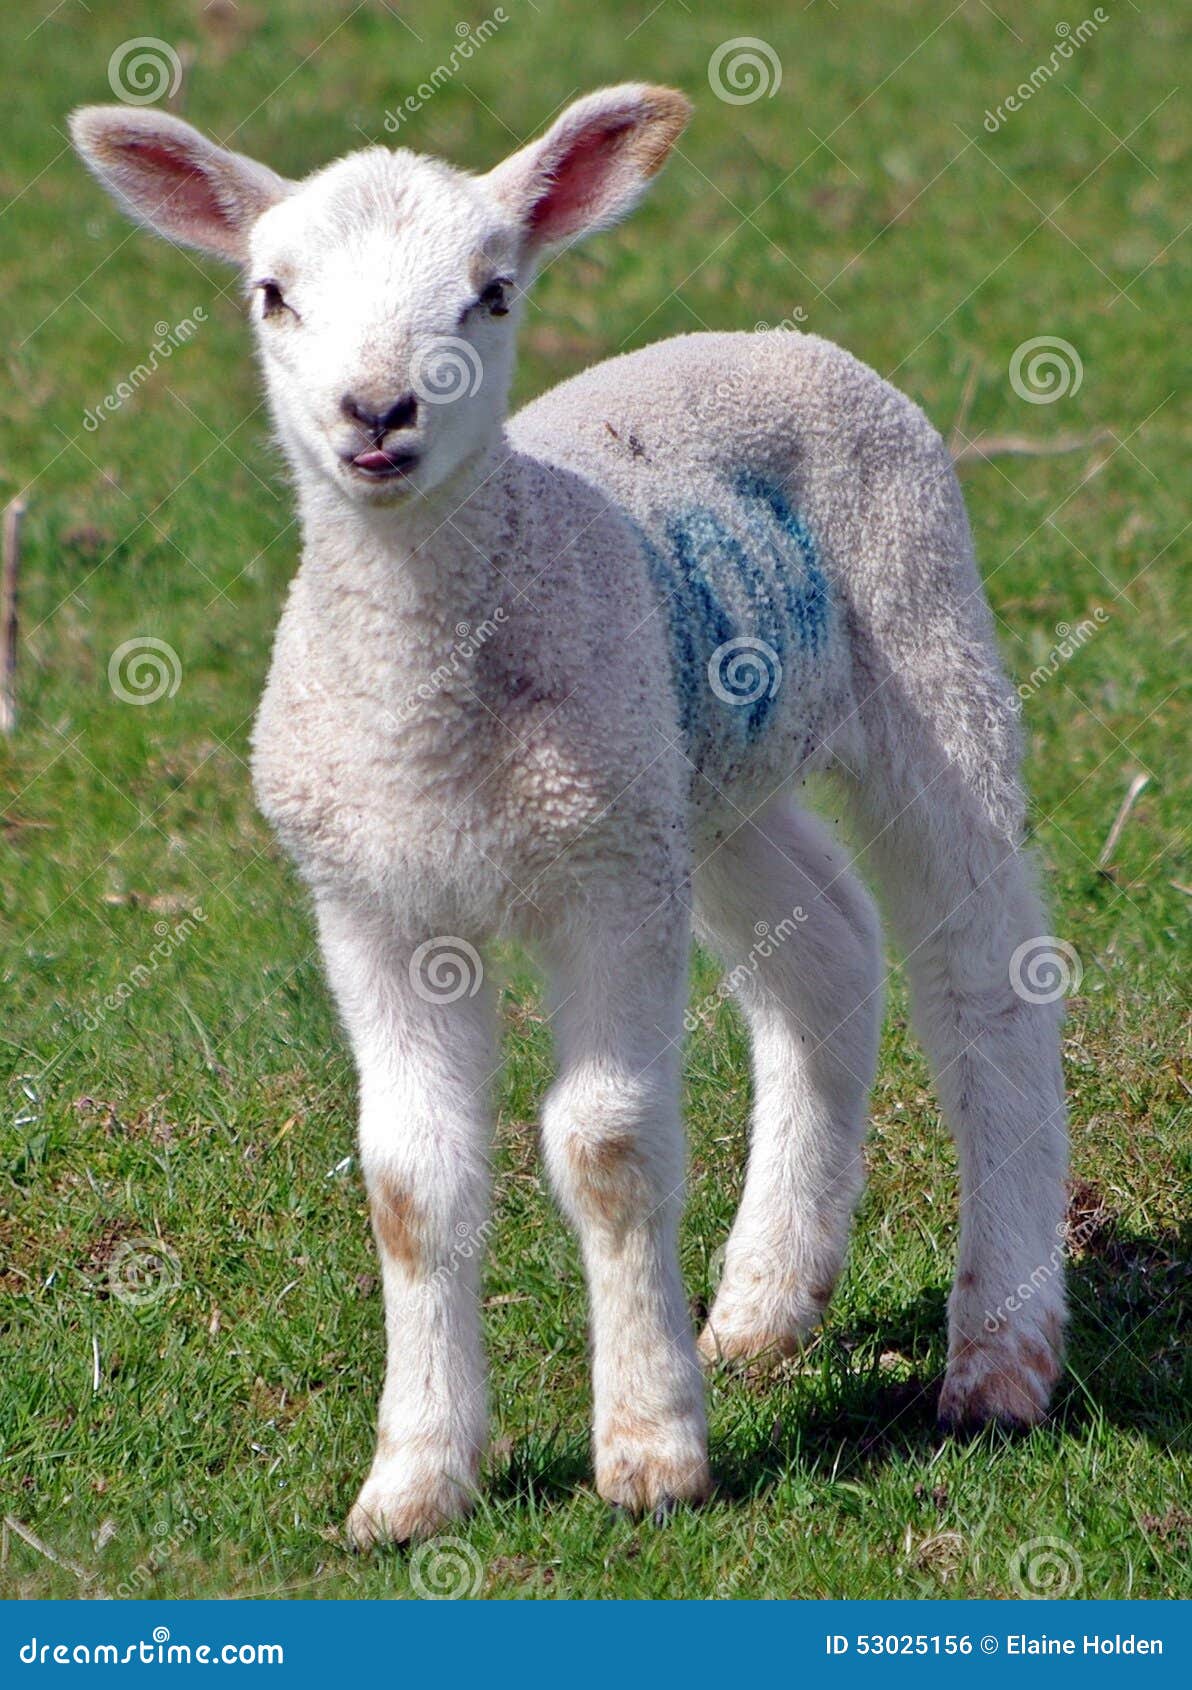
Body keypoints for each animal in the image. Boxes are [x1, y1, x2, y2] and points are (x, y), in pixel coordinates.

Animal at [71, 84, 1069, 1547]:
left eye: (492, 293)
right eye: (272, 293)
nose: (377, 412)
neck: (430, 723)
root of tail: (767, 337)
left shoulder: (604, 886)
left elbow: (606, 1150)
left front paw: (650, 1450)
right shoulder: (374, 900)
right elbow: (409, 1184)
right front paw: (414, 1482)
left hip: (919, 628)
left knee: (984, 976)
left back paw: (999, 1354)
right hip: (689, 768)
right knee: (825, 948)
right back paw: (764, 1303)